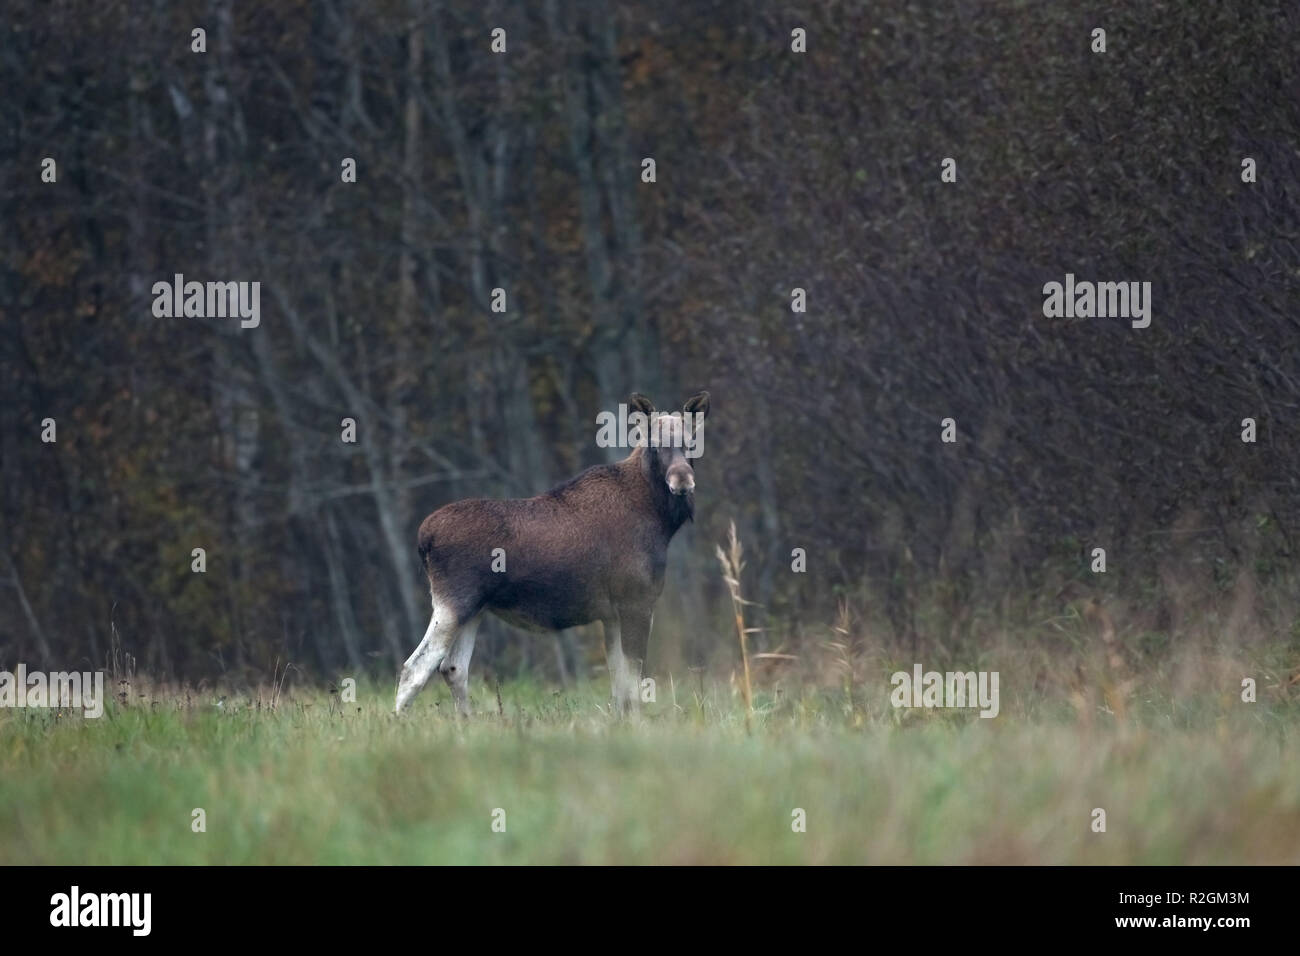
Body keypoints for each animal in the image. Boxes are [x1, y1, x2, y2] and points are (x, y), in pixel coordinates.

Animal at [395, 391, 710, 717]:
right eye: (655, 445)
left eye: (691, 442)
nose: (682, 480)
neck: (661, 521)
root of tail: (423, 538)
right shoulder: (636, 601)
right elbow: (634, 684)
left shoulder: (611, 615)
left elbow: (619, 684)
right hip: (454, 602)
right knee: (415, 668)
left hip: (473, 608)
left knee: (453, 668)